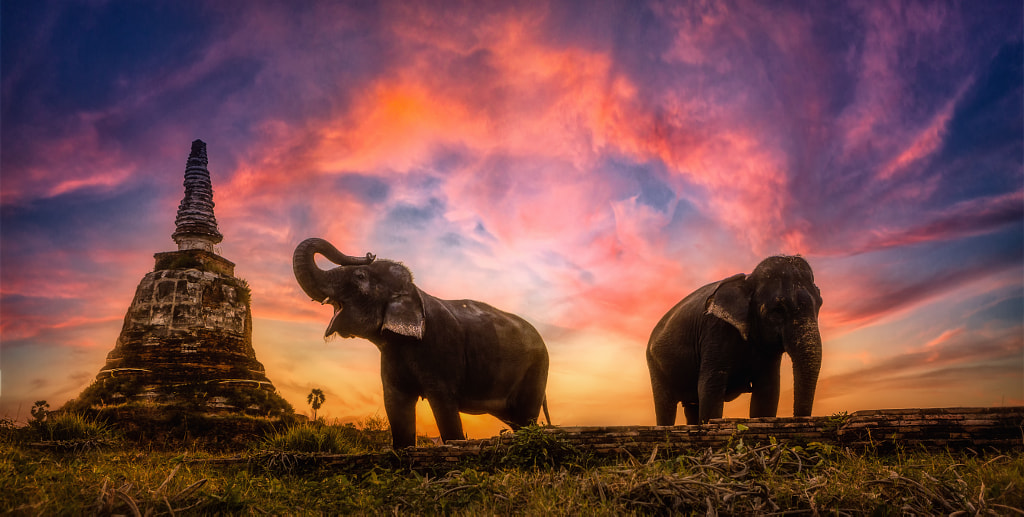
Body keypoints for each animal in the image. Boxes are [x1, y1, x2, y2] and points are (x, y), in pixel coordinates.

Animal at [293, 237, 550, 448]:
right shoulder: (391, 356)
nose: (369, 253)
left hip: (537, 368)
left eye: (360, 277)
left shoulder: (440, 349)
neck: (415, 290)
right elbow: (395, 404)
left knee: (526, 417)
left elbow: (444, 406)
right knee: (517, 421)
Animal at [646, 255, 823, 425]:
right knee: (665, 406)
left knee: (691, 406)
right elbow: (710, 387)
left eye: (820, 304)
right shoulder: (716, 330)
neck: (748, 280)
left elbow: (768, 390)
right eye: (778, 310)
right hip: (655, 365)